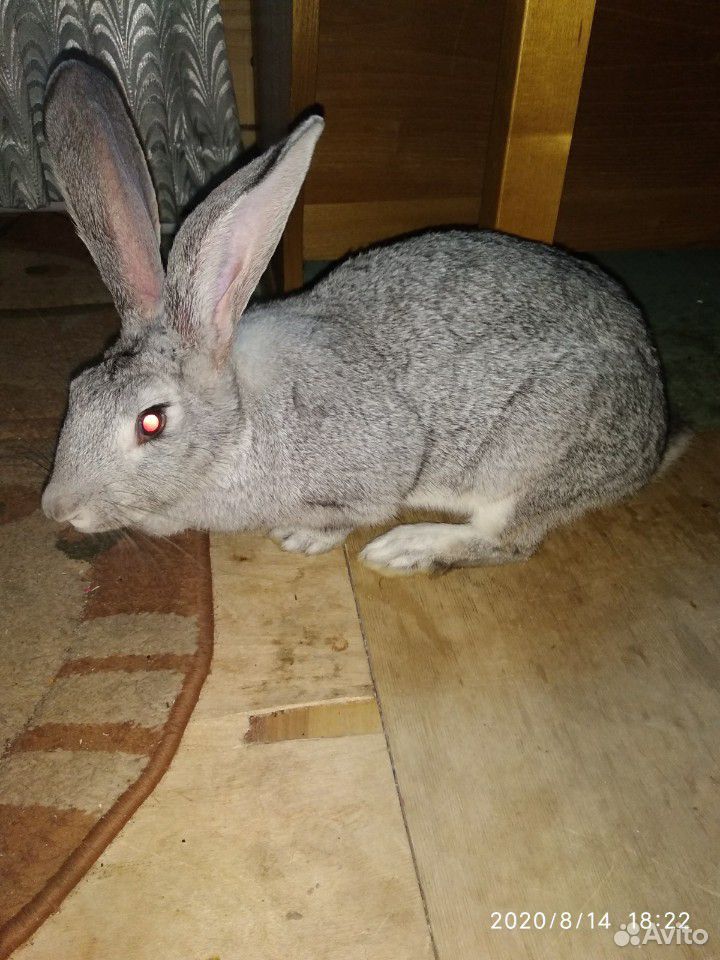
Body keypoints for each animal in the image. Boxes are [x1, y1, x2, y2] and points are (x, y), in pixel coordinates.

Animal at [41, 57, 676, 575]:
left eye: (151, 422)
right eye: (76, 391)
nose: (57, 507)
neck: (240, 425)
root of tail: (652, 436)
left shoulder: (372, 475)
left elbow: (352, 513)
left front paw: (302, 538)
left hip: (528, 466)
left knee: (508, 541)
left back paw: (406, 548)